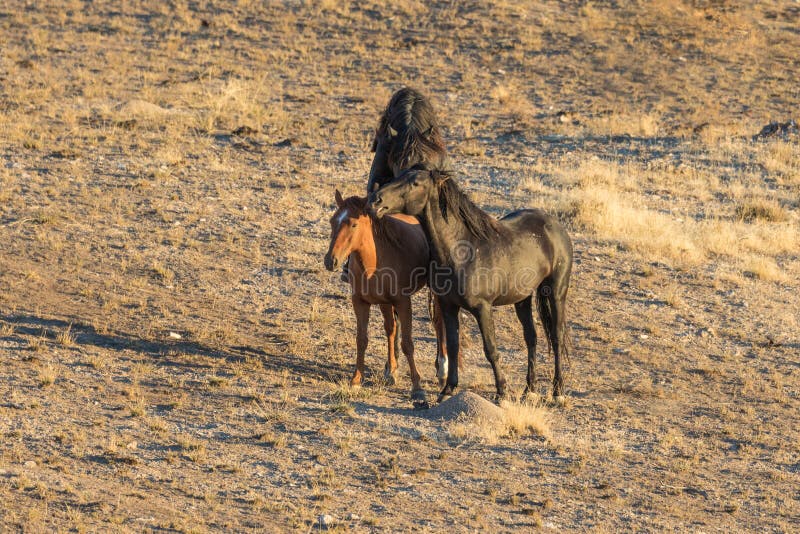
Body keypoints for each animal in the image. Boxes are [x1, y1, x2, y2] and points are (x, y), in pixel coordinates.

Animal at [324, 191, 448, 400]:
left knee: (440, 324)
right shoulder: (360, 302)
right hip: (384, 302)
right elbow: (362, 340)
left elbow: (407, 343)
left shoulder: (403, 302)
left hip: (435, 292)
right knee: (391, 328)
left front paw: (417, 387)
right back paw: (391, 369)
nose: (330, 261)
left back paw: (443, 371)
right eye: (333, 221)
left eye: (353, 224)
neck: (374, 261)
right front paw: (356, 380)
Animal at [369, 169, 574, 403]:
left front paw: (501, 392)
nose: (375, 200)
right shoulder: (448, 306)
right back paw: (529, 389)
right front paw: (448, 389)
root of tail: (554, 225)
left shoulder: (482, 308)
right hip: (522, 298)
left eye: (415, 183)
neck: (461, 251)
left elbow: (491, 349)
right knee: (531, 337)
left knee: (557, 337)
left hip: (556, 292)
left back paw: (558, 392)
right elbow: (452, 345)